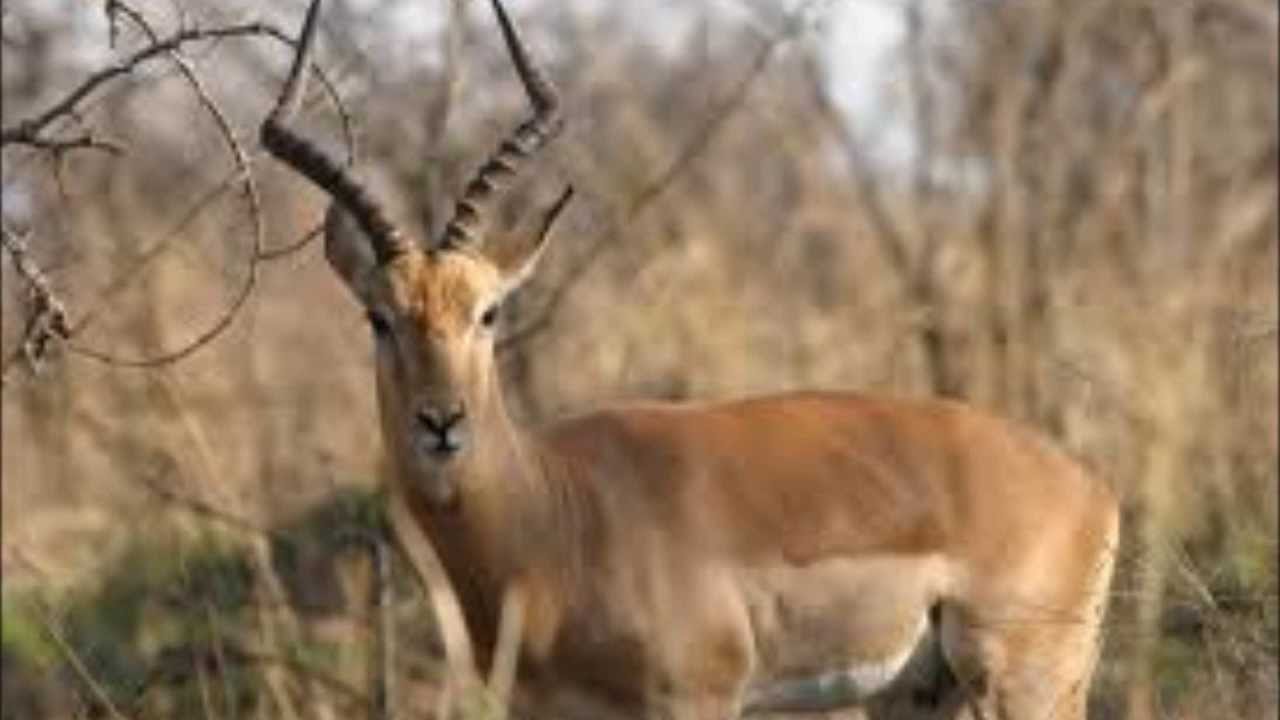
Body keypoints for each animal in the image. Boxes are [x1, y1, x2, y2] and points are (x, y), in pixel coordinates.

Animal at [262, 1, 1120, 718]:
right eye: (377, 315)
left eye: (489, 310)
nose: (441, 423)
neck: (555, 515)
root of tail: (1090, 486)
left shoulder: (699, 699)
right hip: (914, 697)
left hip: (1025, 685)